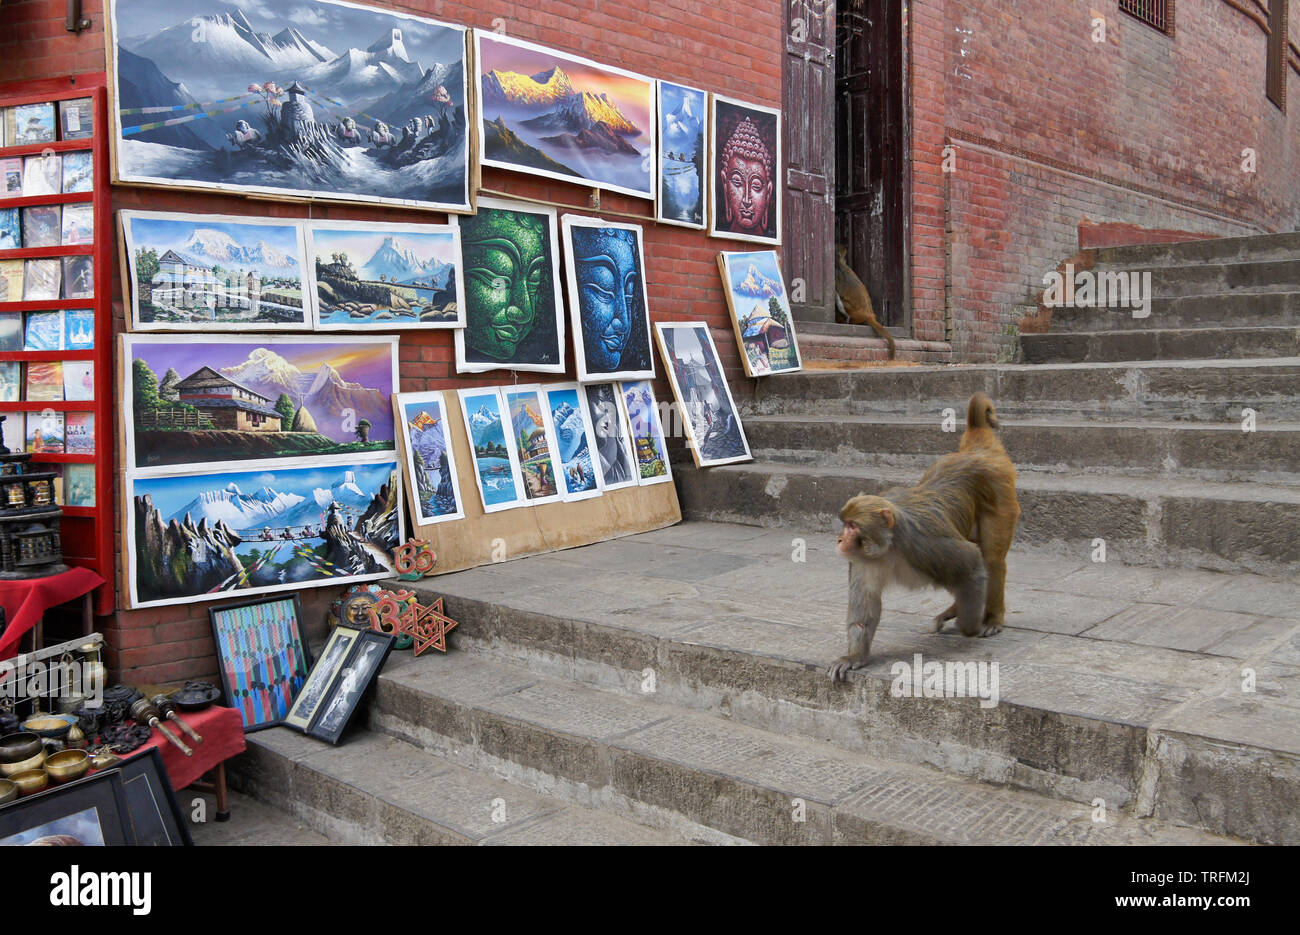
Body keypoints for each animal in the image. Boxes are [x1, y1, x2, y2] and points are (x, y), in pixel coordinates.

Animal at [829, 392, 1020, 684]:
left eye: (852, 525)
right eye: (844, 524)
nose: (840, 540)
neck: (888, 547)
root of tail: (976, 452)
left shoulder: (923, 545)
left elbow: (973, 563)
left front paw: (969, 627)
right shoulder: (863, 561)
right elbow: (865, 610)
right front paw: (854, 657)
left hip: (1000, 491)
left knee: (990, 559)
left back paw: (991, 618)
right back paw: (955, 608)